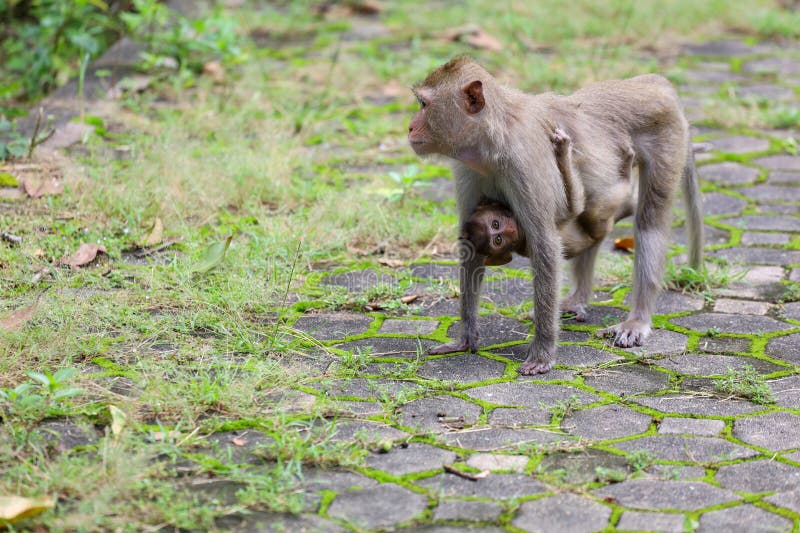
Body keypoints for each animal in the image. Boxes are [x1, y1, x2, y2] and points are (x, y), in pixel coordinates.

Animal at [408, 56, 703, 374]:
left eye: (423, 104)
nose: (410, 127)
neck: (493, 137)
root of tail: (652, 84)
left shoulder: (525, 162)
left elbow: (545, 245)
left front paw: (542, 352)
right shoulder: (468, 168)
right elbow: (471, 246)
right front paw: (465, 336)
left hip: (667, 133)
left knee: (649, 219)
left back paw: (637, 318)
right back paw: (578, 298)